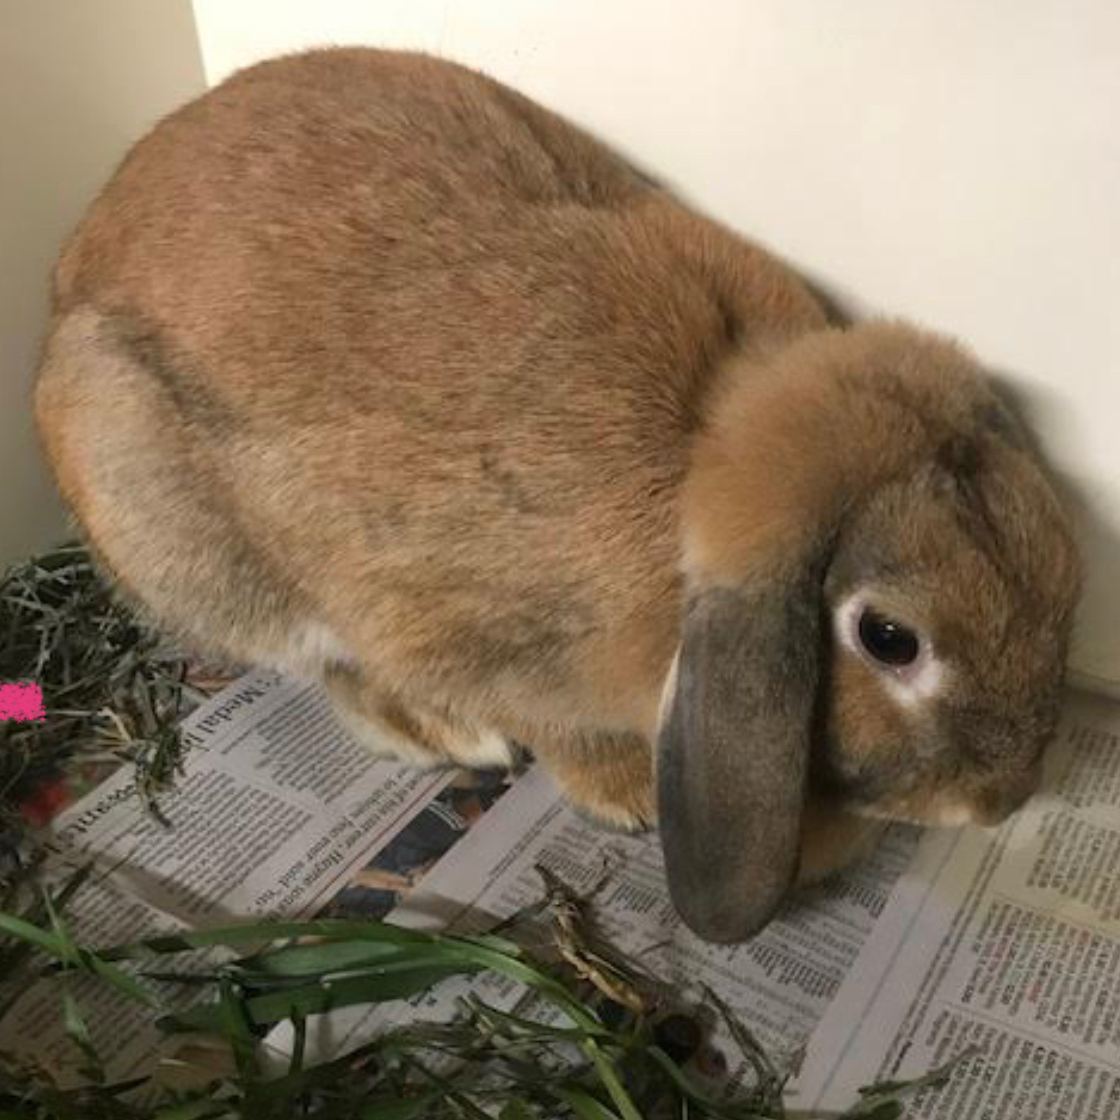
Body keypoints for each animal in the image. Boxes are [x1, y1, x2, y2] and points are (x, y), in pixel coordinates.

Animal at [33, 47, 1080, 943]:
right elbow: (538, 715)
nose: (1004, 799)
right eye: (890, 639)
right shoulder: (475, 632)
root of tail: (64, 284)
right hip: (186, 537)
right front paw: (624, 793)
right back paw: (438, 732)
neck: (697, 454)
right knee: (317, 663)